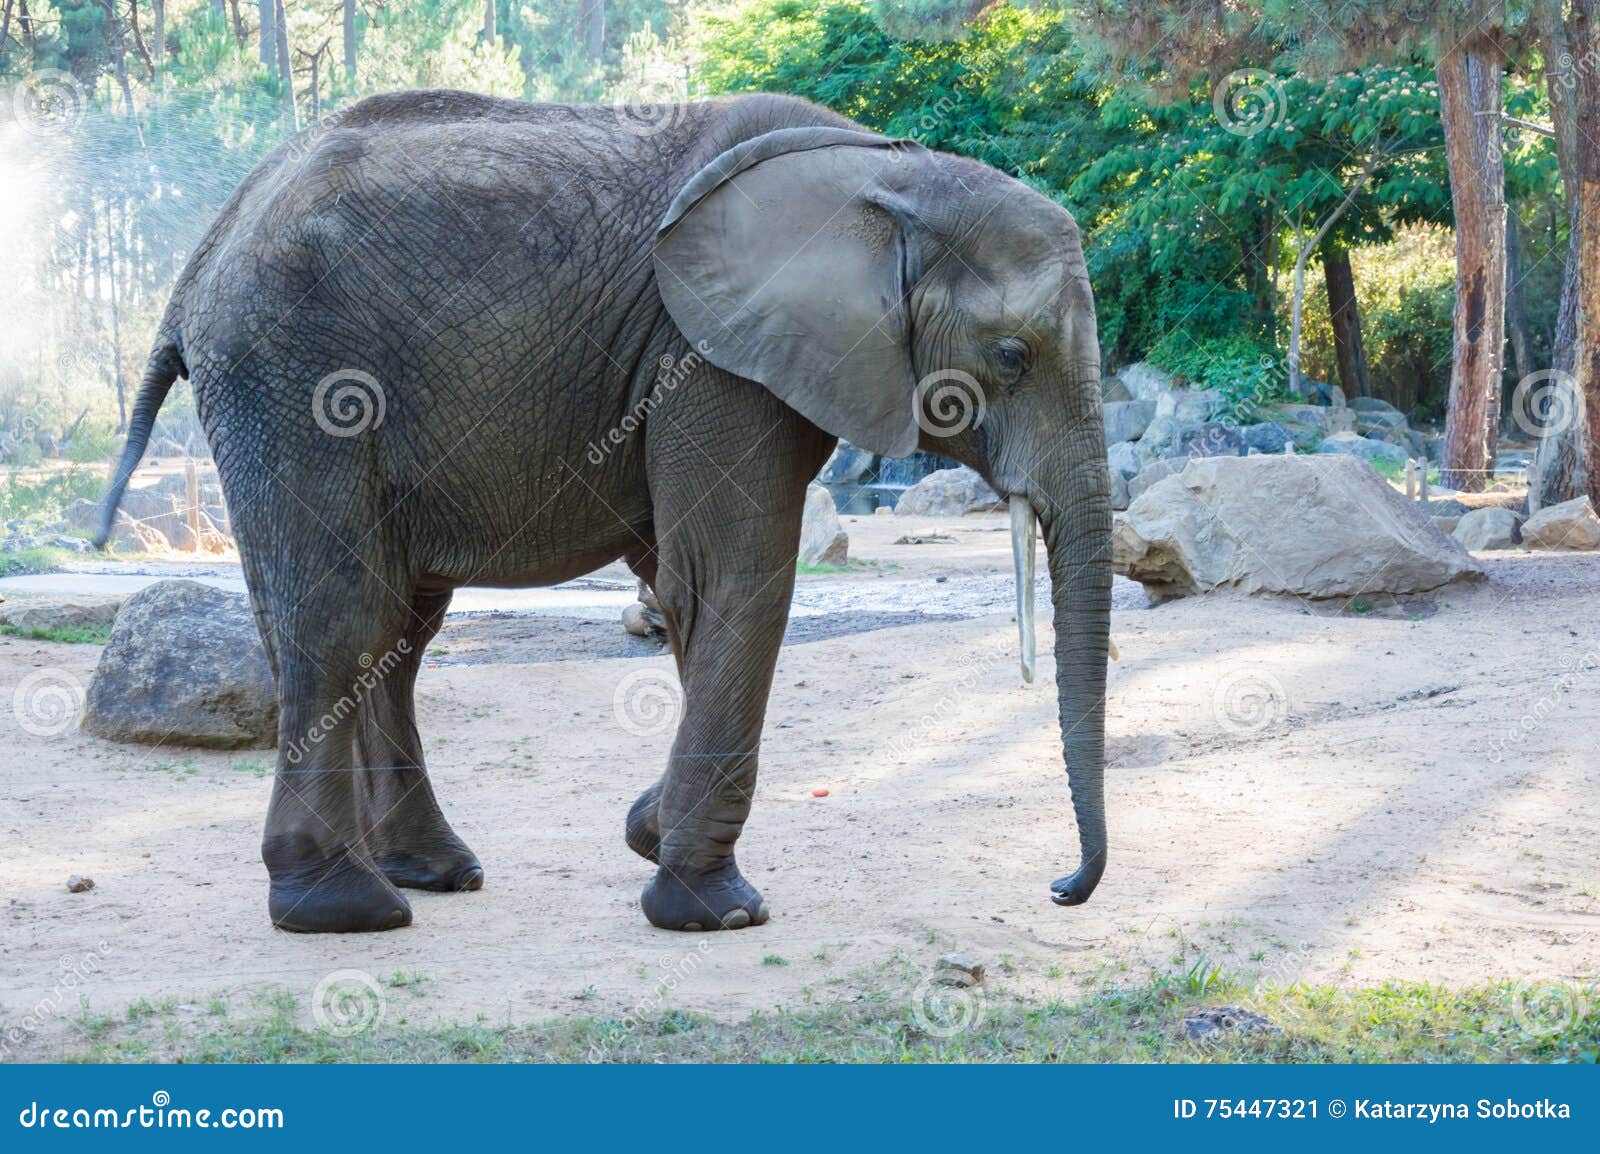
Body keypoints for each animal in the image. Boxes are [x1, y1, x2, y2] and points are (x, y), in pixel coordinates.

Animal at [95, 90, 1112, 934]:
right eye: (1013, 355)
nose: (1060, 888)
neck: (892, 172)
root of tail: (206, 251)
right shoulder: (711, 361)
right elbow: (731, 577)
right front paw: (718, 911)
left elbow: (683, 586)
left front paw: (646, 833)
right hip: (294, 378)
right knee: (341, 615)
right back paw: (346, 910)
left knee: (398, 627)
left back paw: (433, 873)